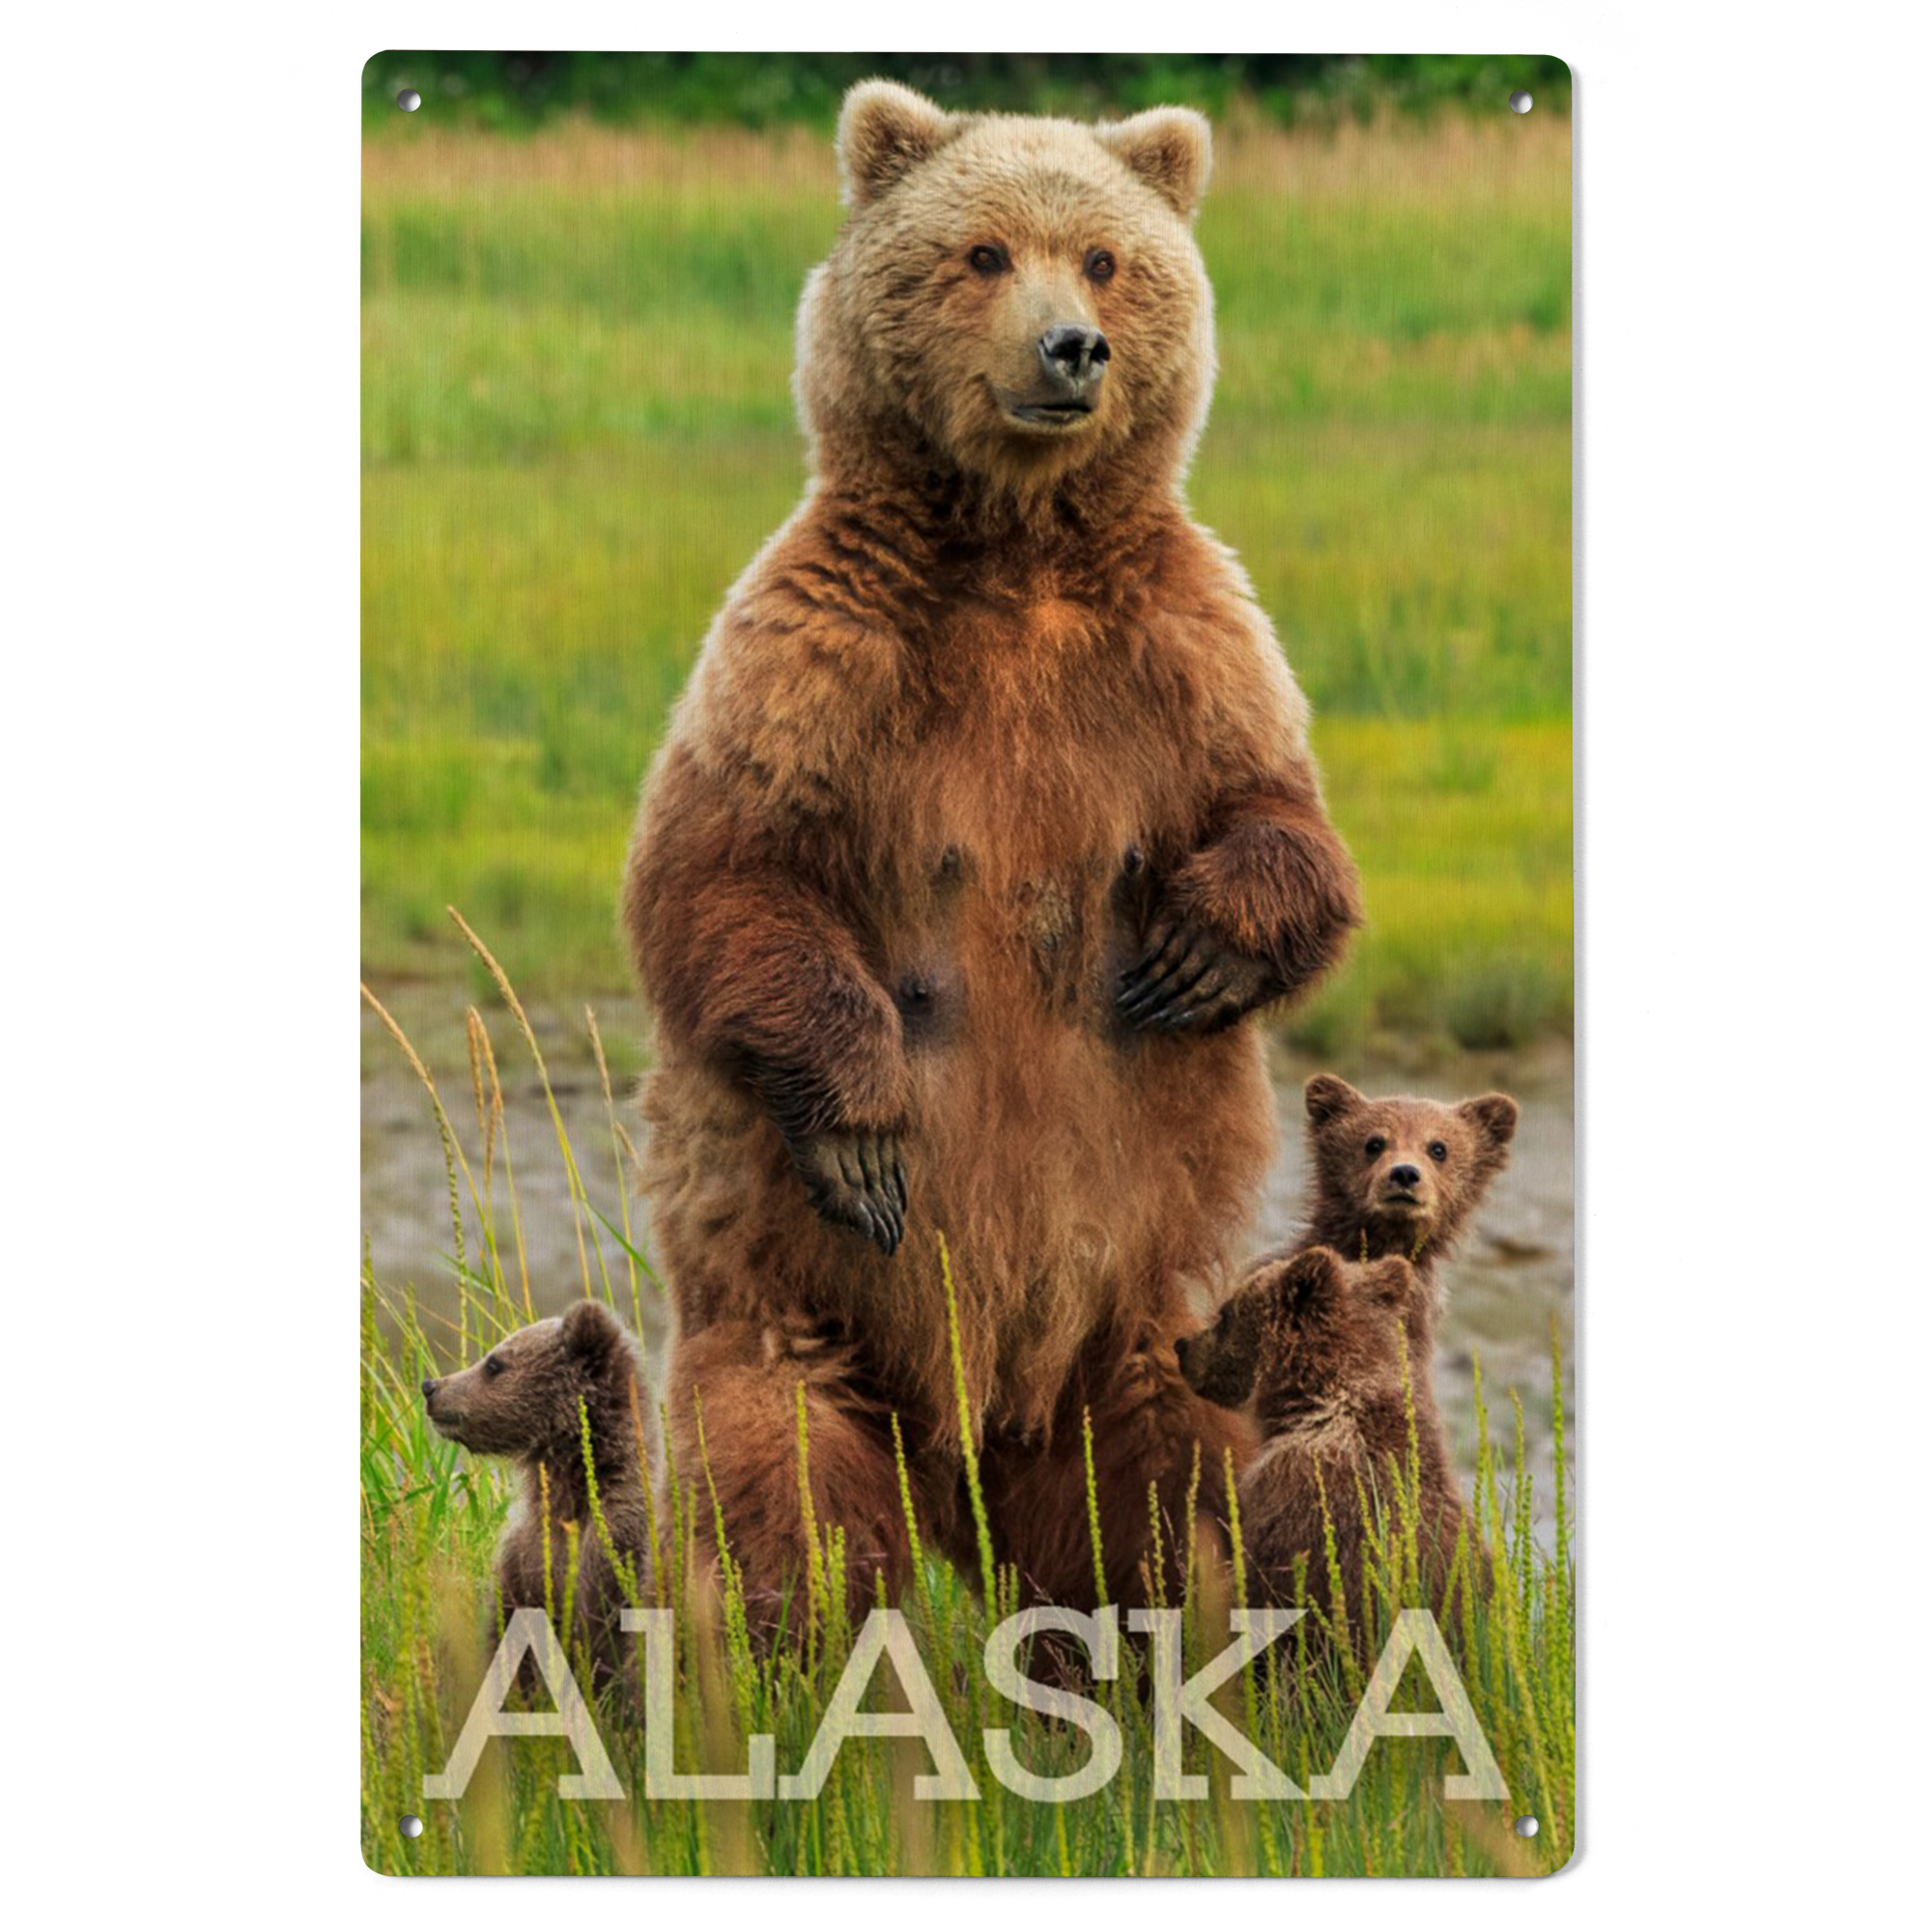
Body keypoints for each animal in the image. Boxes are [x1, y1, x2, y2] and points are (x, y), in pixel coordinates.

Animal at [622, 80, 1362, 1624]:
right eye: (980, 253)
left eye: (1104, 259)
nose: (1070, 348)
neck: (1015, 551)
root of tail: (969, 1440)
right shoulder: (815, 649)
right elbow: (724, 877)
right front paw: (862, 1128)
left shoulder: (1188, 647)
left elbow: (1283, 821)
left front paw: (1194, 952)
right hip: (791, 1305)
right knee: (781, 1484)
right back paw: (796, 1647)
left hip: (1140, 1321)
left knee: (1167, 1495)